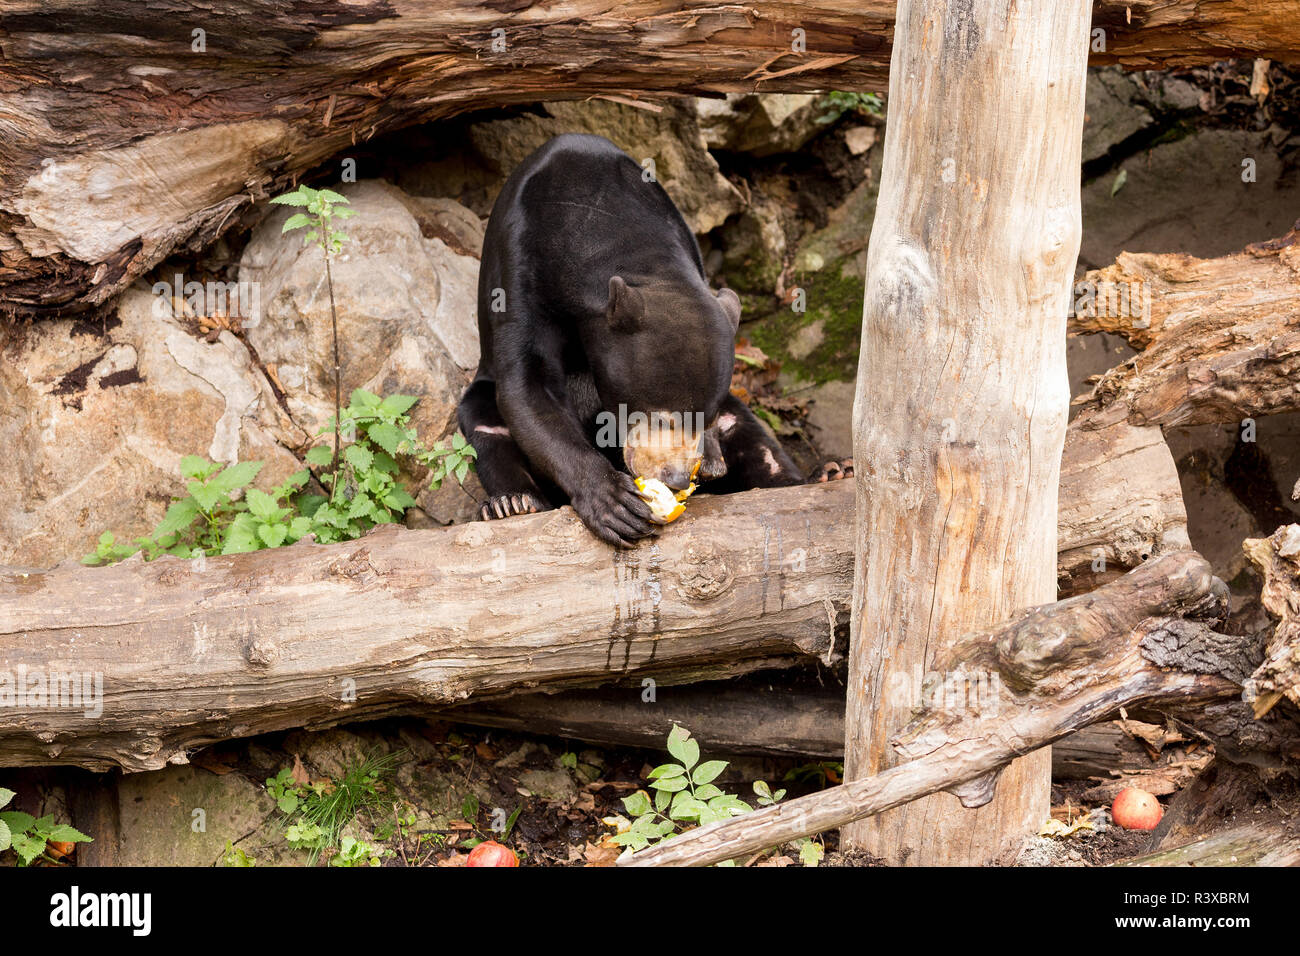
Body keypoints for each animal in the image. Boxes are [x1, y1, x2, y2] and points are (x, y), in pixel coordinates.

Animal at [457, 133, 848, 547]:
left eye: (704, 418)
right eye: (660, 418)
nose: (675, 479)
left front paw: (711, 458)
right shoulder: (520, 267)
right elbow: (528, 387)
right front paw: (614, 503)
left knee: (749, 430)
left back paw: (830, 471)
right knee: (487, 425)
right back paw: (512, 503)